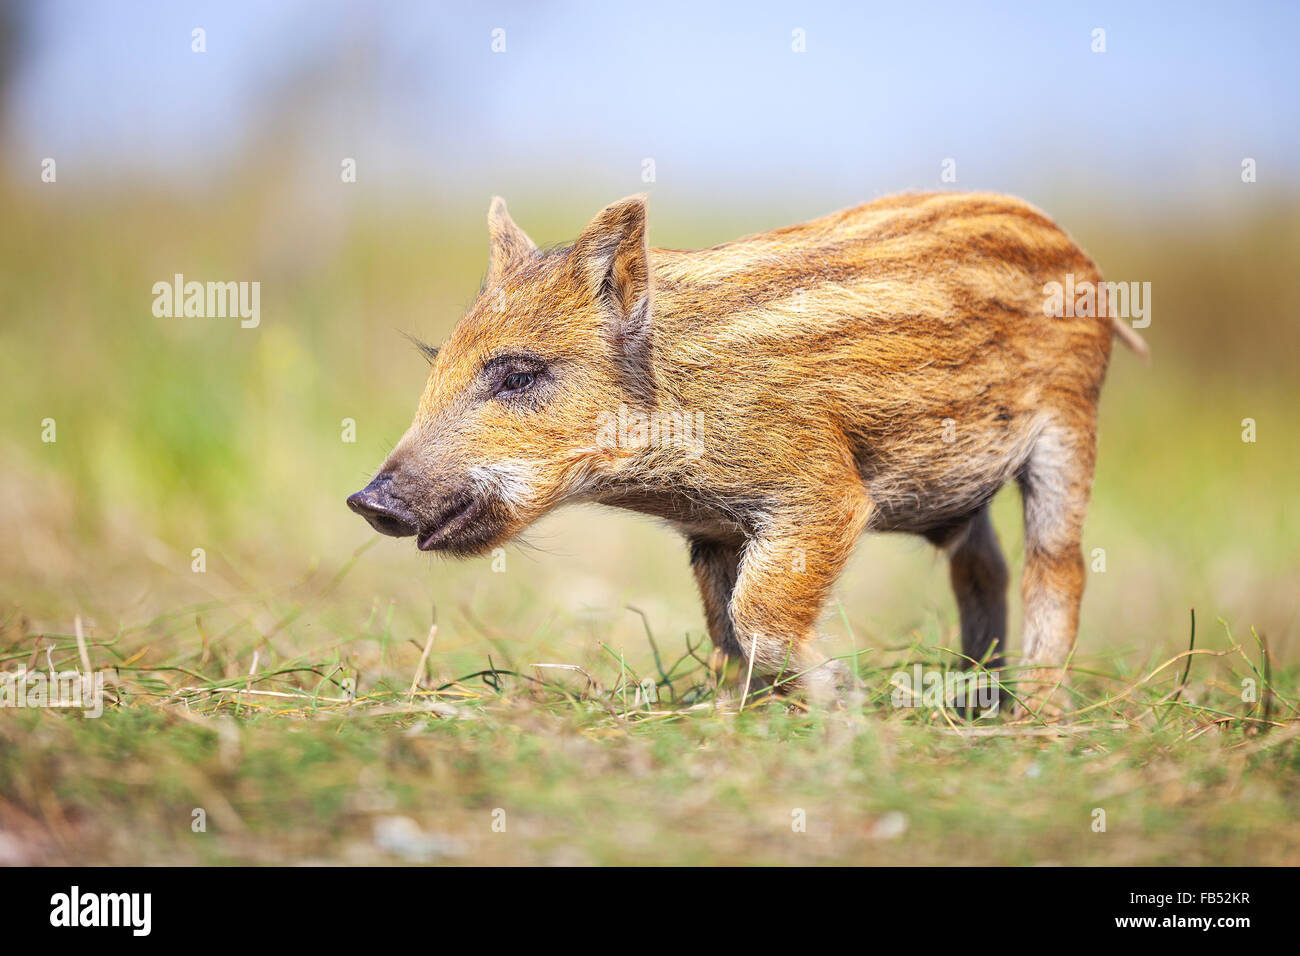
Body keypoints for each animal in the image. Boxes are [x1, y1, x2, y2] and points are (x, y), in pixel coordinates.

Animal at [347, 192, 1147, 713]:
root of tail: (1082, 258)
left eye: (517, 375)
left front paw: (840, 700)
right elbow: (725, 627)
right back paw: (978, 698)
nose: (368, 500)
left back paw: (1034, 716)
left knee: (1057, 567)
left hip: (1071, 426)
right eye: (437, 366)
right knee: (983, 566)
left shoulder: (824, 494)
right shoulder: (711, 529)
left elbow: (757, 616)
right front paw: (743, 717)